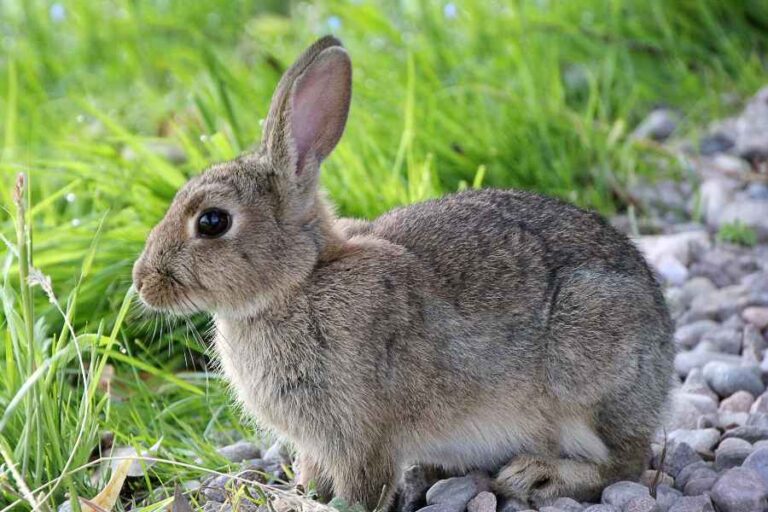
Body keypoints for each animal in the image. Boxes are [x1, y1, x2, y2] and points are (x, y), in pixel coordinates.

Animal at [133, 35, 674, 510]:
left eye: (212, 221)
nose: (142, 281)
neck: (299, 282)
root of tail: (664, 347)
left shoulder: (361, 432)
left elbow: (363, 485)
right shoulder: (317, 441)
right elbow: (314, 472)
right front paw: (299, 494)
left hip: (589, 372)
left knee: (626, 463)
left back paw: (538, 475)